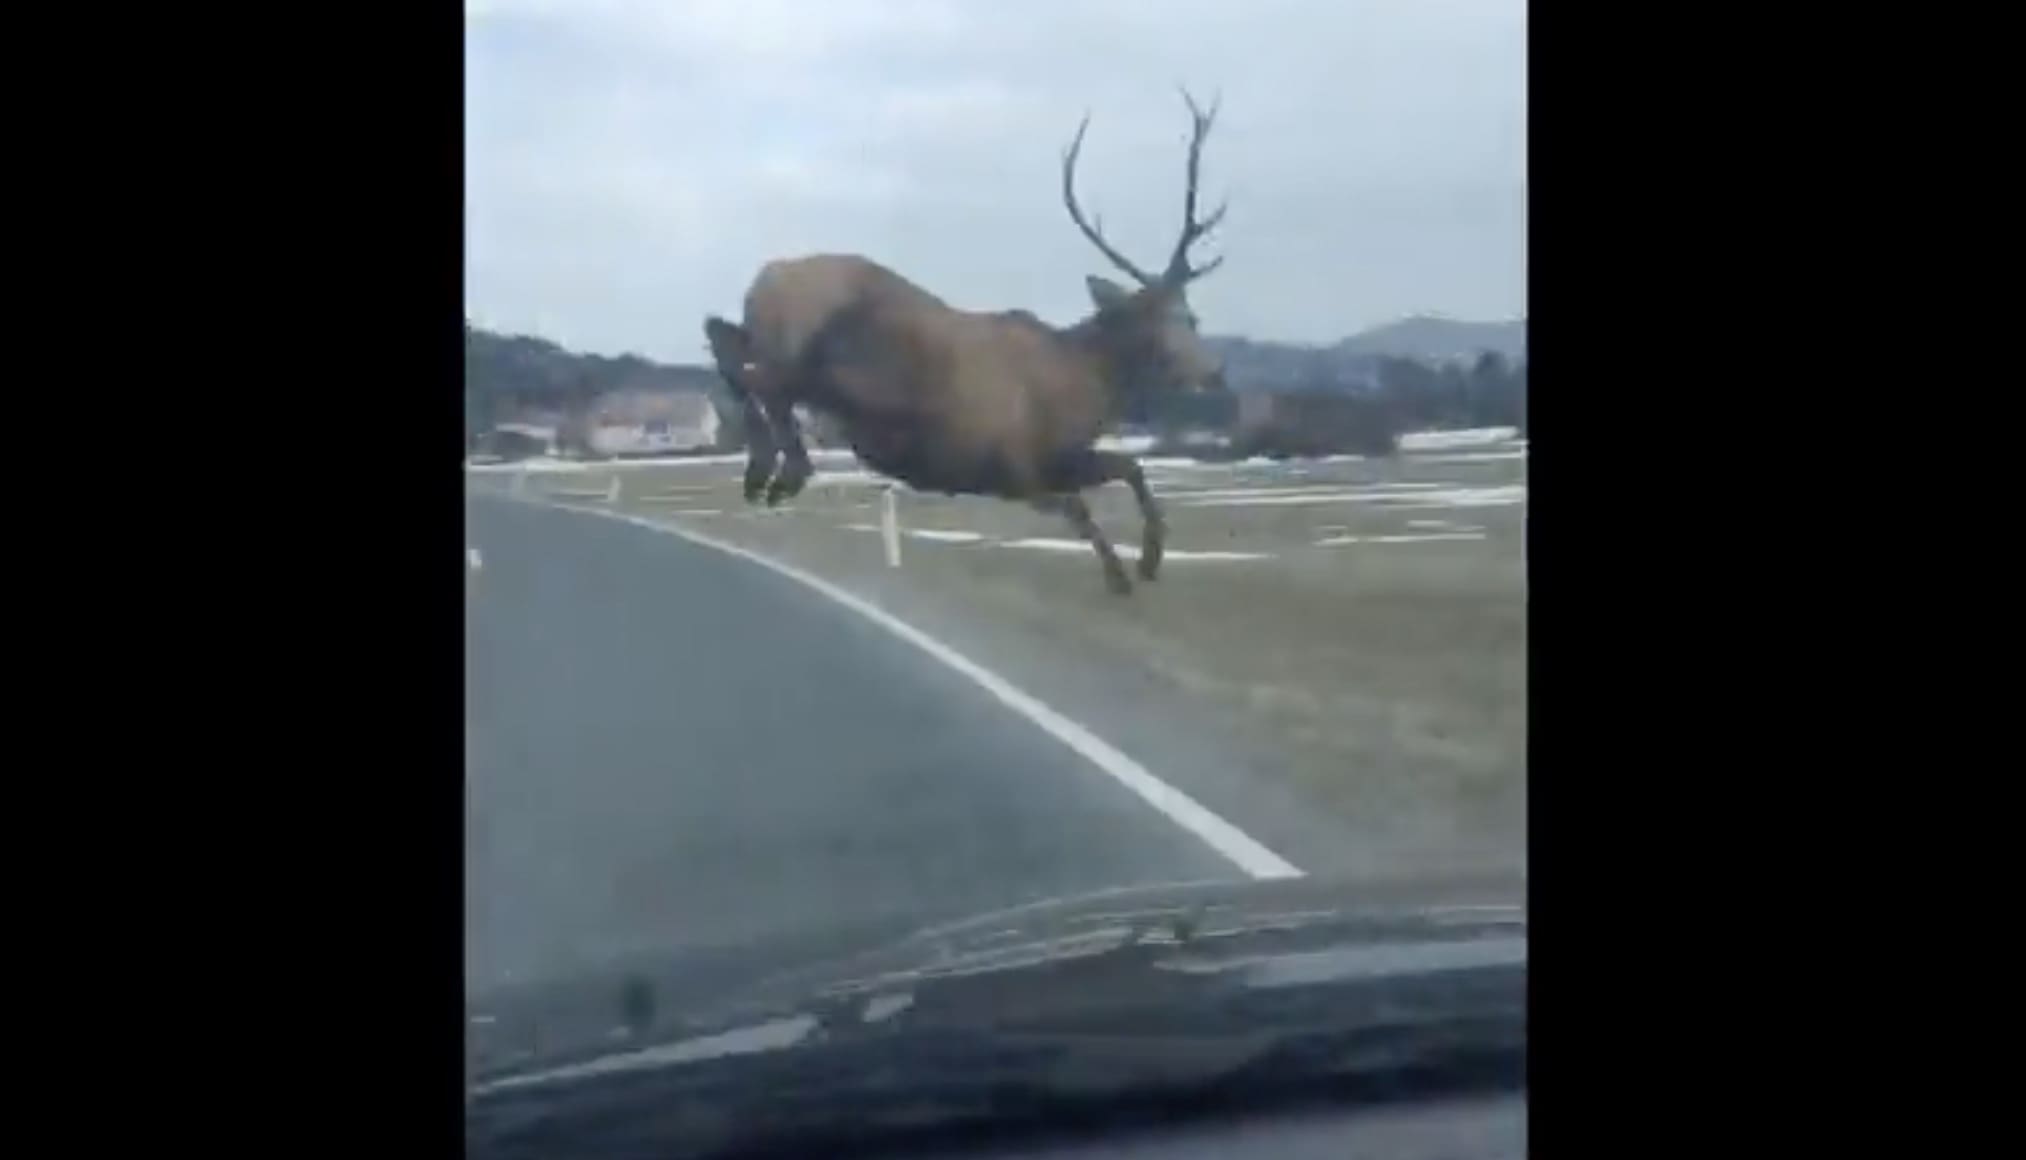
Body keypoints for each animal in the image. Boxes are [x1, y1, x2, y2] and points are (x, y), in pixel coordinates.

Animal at [703, 90, 1231, 595]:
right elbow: (1079, 507)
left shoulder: (1057, 460)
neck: (1087, 385)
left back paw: (762, 471)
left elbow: (1130, 465)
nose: (1215, 373)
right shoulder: (1012, 467)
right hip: (826, 357)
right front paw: (1124, 574)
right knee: (763, 377)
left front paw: (1149, 560)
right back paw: (784, 471)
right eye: (1164, 319)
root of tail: (764, 279)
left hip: (782, 345)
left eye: (1193, 315)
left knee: (722, 338)